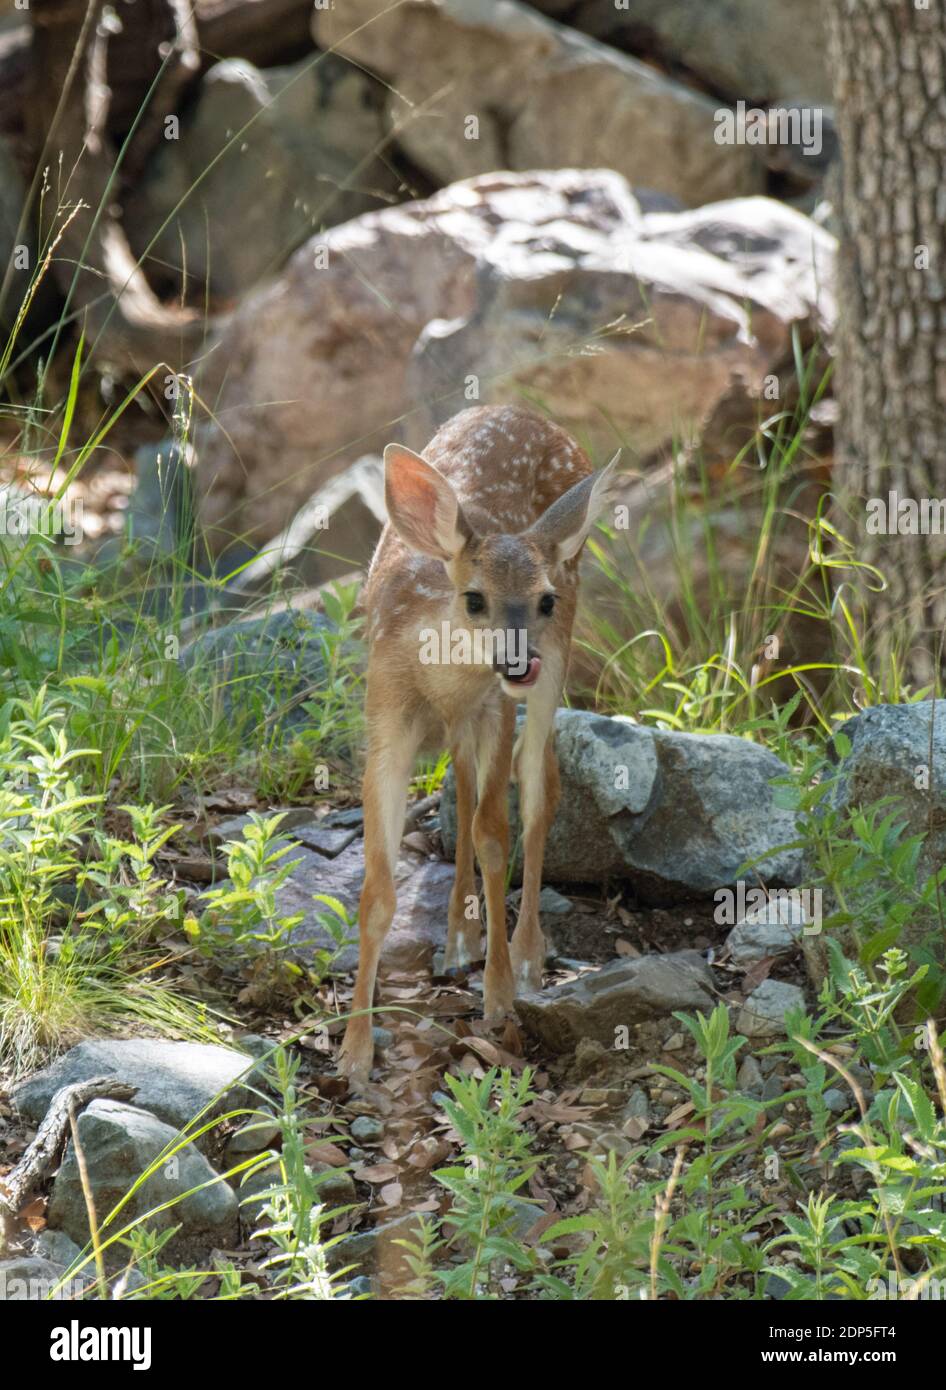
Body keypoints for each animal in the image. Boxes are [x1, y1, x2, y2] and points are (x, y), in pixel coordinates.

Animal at [338, 404, 622, 1085]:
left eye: (541, 599)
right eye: (474, 598)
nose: (517, 662)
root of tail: (522, 411)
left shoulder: (496, 708)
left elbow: (497, 836)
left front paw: (497, 998)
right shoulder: (385, 718)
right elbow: (377, 890)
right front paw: (355, 1052)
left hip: (560, 648)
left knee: (540, 785)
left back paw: (525, 955)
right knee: (465, 789)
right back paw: (457, 938)